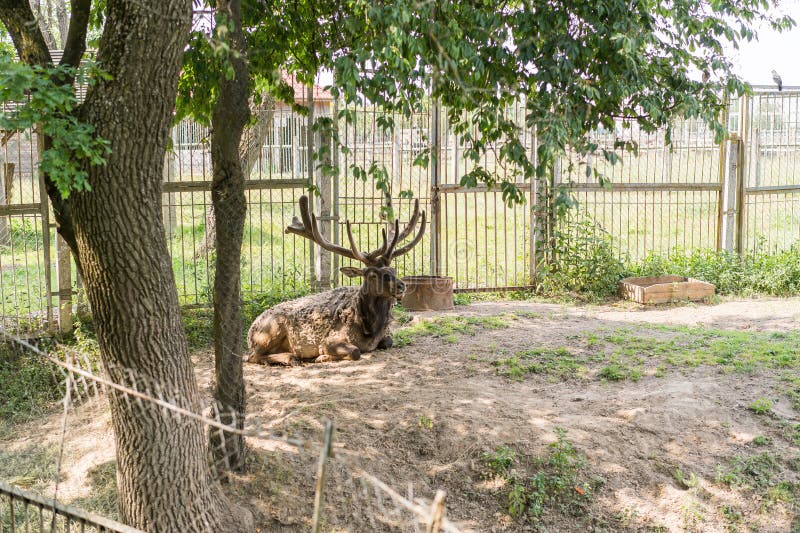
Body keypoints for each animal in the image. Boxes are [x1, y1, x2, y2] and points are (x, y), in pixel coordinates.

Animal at [245, 195, 426, 365]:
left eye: (393, 270)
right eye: (372, 274)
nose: (402, 286)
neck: (370, 329)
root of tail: (250, 333)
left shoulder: (386, 335)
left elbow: (388, 341)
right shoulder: (330, 338)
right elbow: (355, 351)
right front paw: (321, 357)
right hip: (271, 330)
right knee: (252, 356)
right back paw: (291, 358)